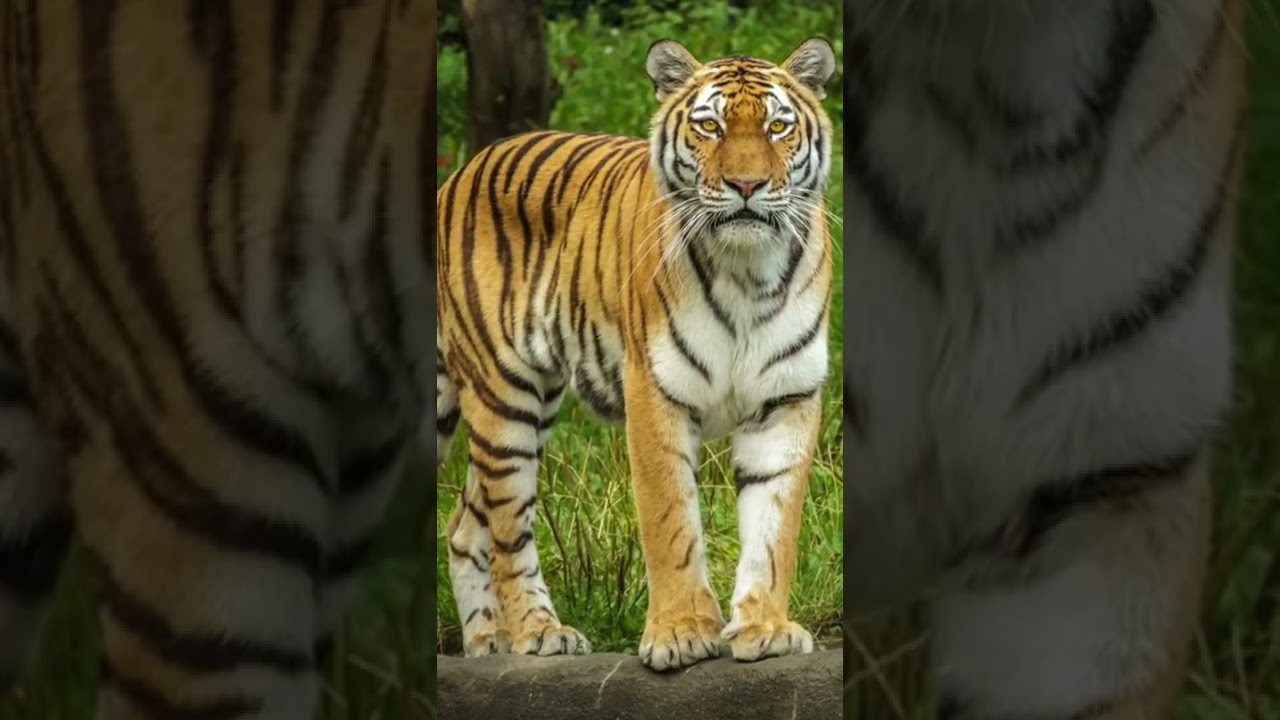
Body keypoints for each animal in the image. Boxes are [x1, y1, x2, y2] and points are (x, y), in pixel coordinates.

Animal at [435, 37, 837, 671]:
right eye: (709, 126)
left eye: (778, 127)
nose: (747, 186)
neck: (748, 272)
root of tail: (460, 173)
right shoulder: (655, 391)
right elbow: (669, 519)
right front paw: (681, 633)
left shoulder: (787, 398)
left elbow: (774, 528)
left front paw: (765, 627)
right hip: (504, 397)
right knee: (507, 528)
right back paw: (539, 633)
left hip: (523, 406)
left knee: (466, 528)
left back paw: (486, 642)